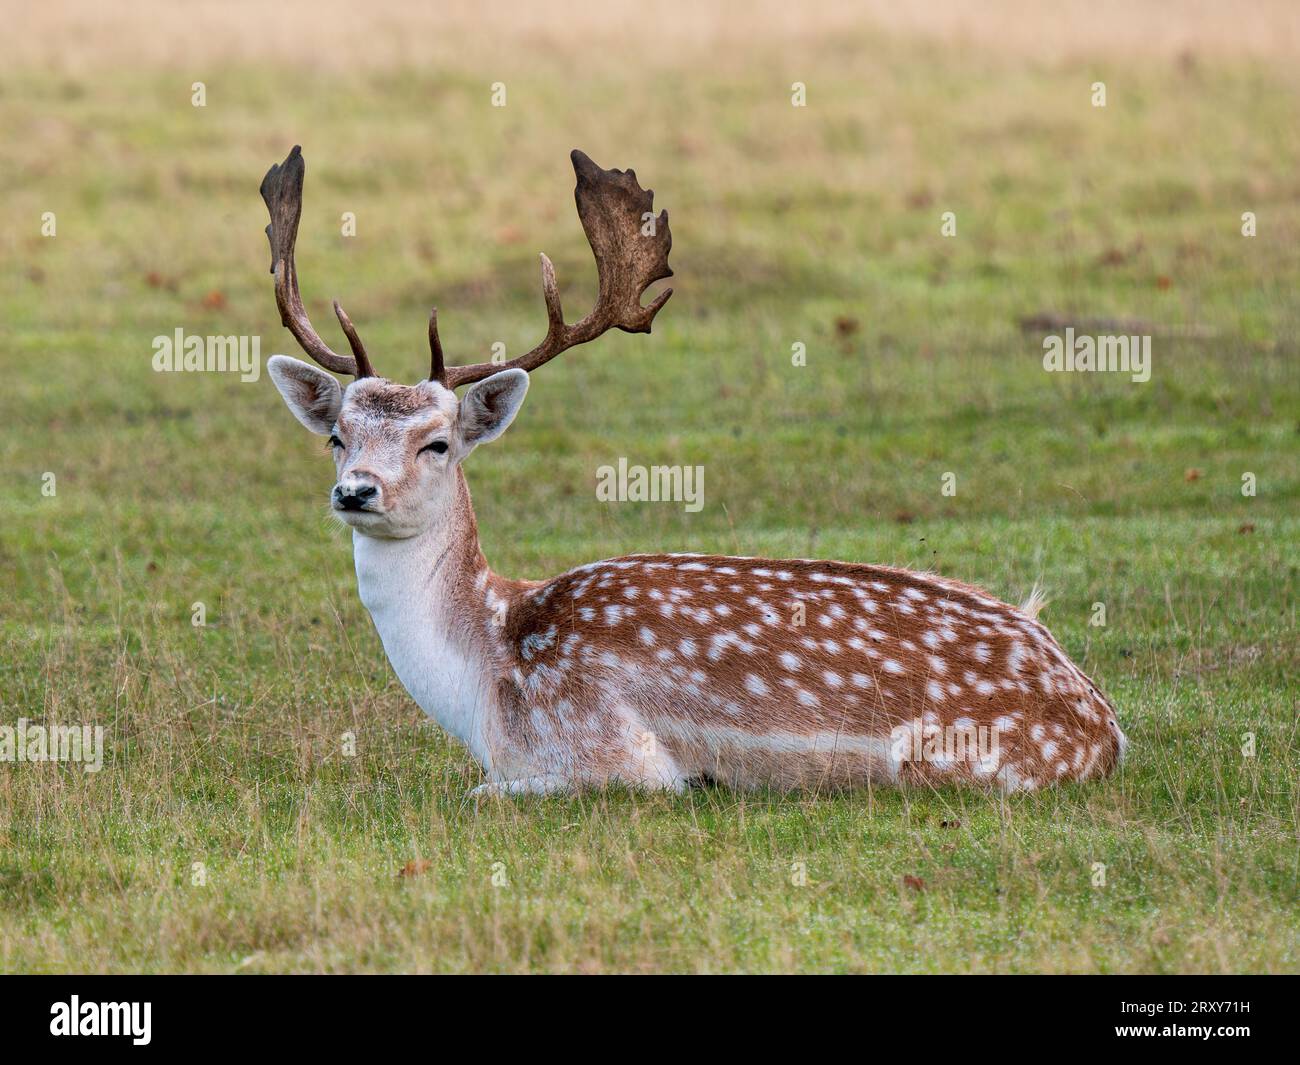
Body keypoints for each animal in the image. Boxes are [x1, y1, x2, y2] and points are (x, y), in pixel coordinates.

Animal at [260, 145, 1127, 798]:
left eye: (438, 442)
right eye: (337, 434)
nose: (355, 490)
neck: (486, 681)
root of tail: (1107, 727)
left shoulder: (606, 752)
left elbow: (489, 789)